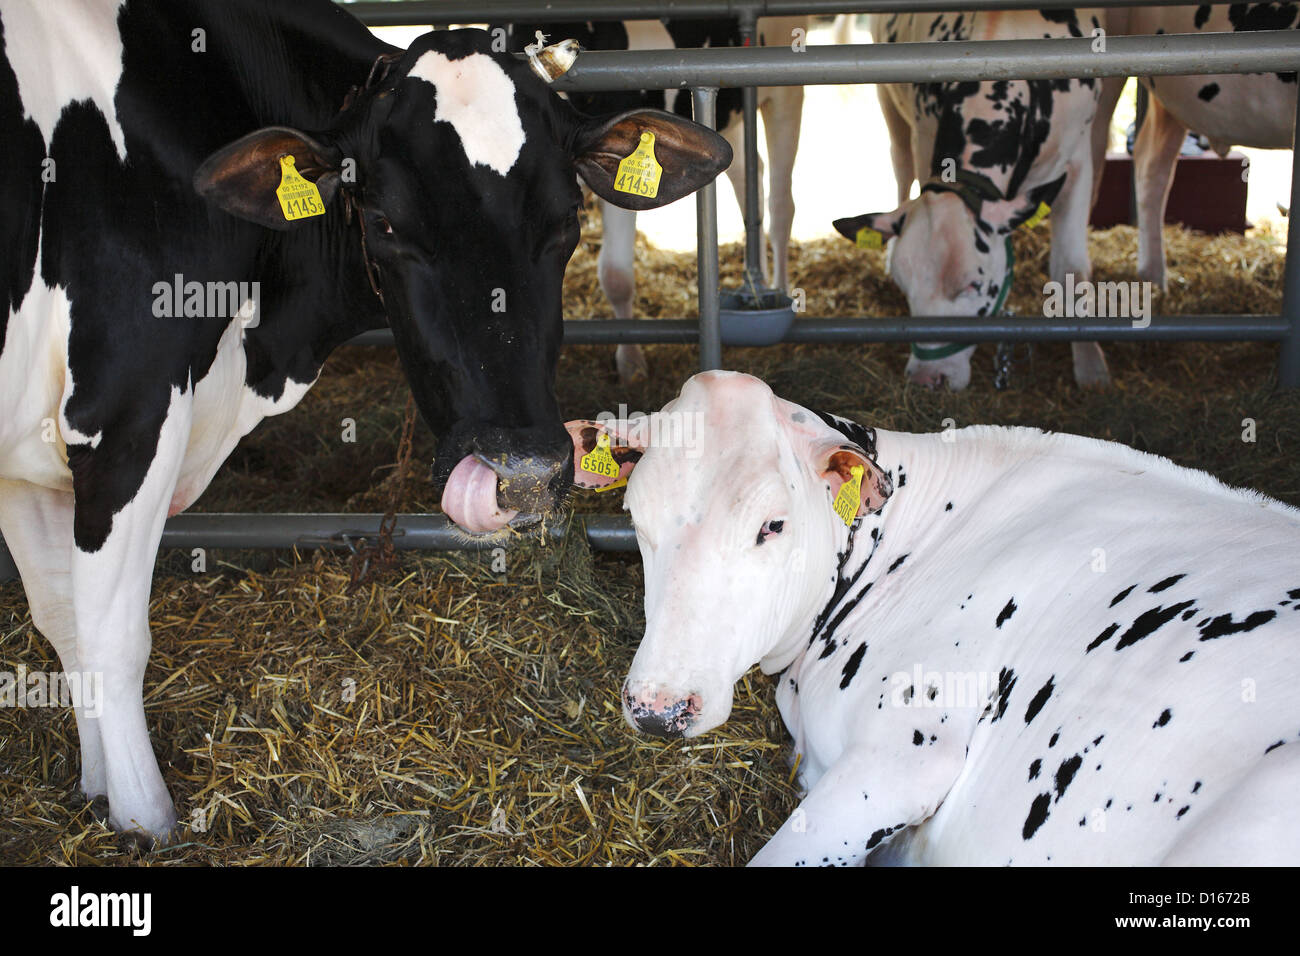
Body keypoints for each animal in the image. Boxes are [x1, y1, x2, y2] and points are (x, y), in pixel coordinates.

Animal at [0, 0, 729, 842]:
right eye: (382, 222)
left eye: (567, 215)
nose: (522, 474)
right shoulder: (129, 414)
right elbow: (111, 640)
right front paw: (143, 822)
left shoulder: (29, 462)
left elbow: (63, 622)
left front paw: (94, 795)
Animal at [499, 17, 806, 384]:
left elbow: (616, 276)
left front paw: (631, 363)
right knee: (749, 176)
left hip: (784, 95)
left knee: (781, 203)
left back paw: (779, 288)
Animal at [833, 10, 1112, 390]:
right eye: (906, 287)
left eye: (973, 284)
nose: (927, 378)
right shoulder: (925, 140)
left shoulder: (1076, 157)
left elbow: (1071, 267)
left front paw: (1090, 365)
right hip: (889, 103)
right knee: (900, 164)